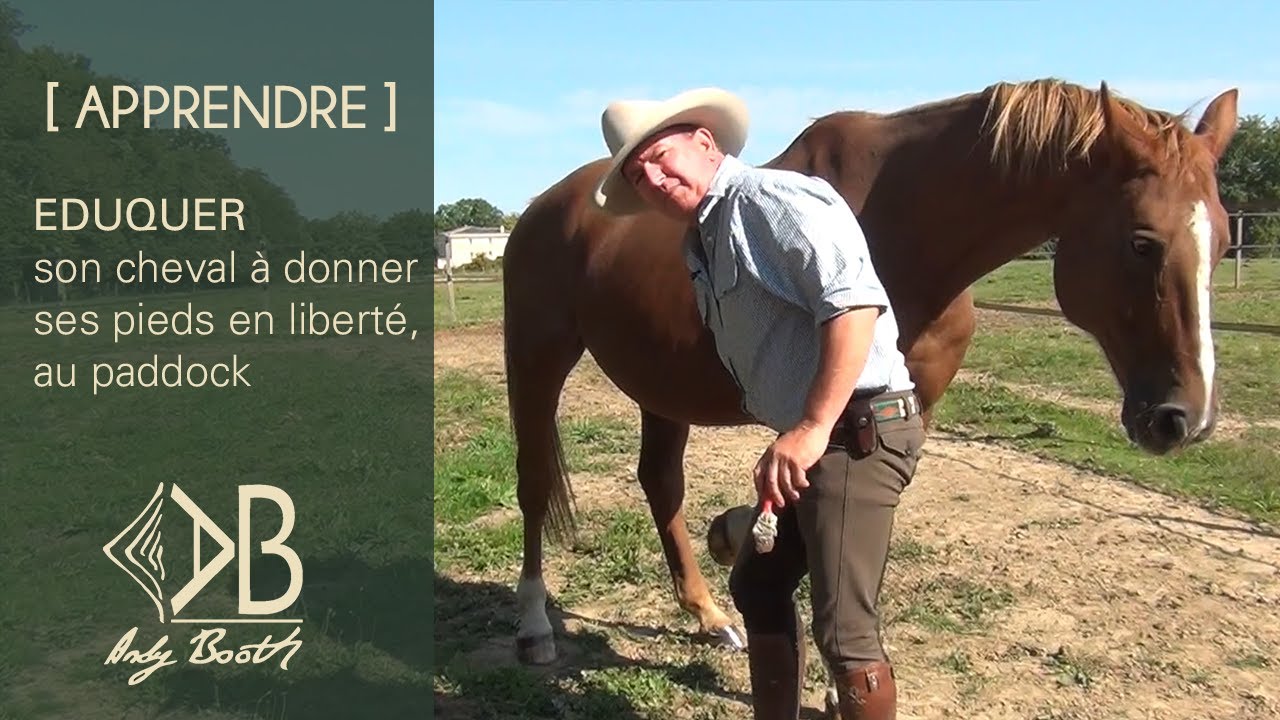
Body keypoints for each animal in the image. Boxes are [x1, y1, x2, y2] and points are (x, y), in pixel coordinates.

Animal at [499, 77, 1239, 665]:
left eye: (1225, 239)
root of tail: (542, 207)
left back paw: (708, 616)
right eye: (1142, 242)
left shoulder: (904, 412)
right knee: (535, 484)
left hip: (660, 385)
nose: (1184, 418)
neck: (903, 228)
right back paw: (535, 626)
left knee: (661, 484)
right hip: (536, 358)